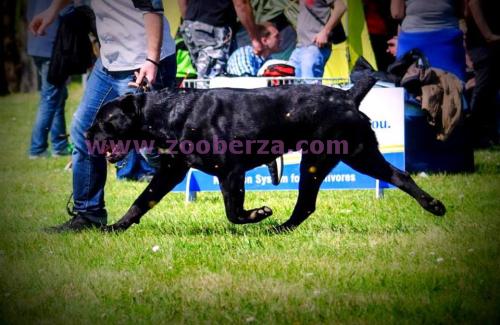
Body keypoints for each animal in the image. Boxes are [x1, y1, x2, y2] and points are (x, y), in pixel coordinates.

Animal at [85, 77, 446, 232]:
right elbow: (142, 200)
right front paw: (115, 227)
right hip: (340, 159)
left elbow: (233, 211)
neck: (168, 115)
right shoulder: (171, 171)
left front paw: (258, 213)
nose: (87, 135)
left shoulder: (230, 172)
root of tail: (347, 96)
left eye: (103, 121)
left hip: (333, 158)